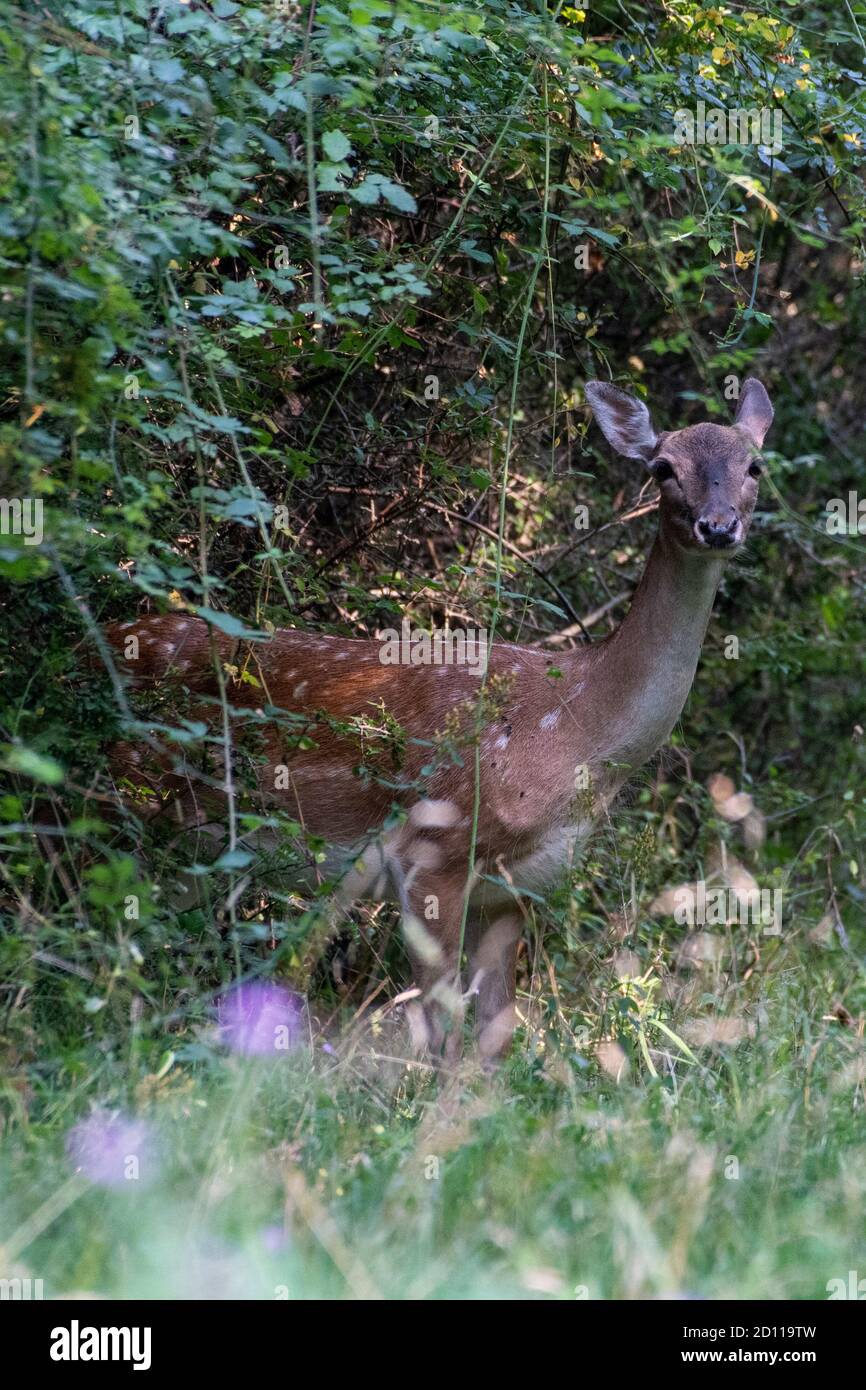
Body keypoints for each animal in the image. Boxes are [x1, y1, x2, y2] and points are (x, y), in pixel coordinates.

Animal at [103, 378, 773, 1063]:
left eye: (755, 465)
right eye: (663, 468)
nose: (718, 526)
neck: (574, 731)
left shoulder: (515, 888)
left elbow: (495, 1037)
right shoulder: (432, 852)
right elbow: (440, 1032)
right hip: (124, 802)